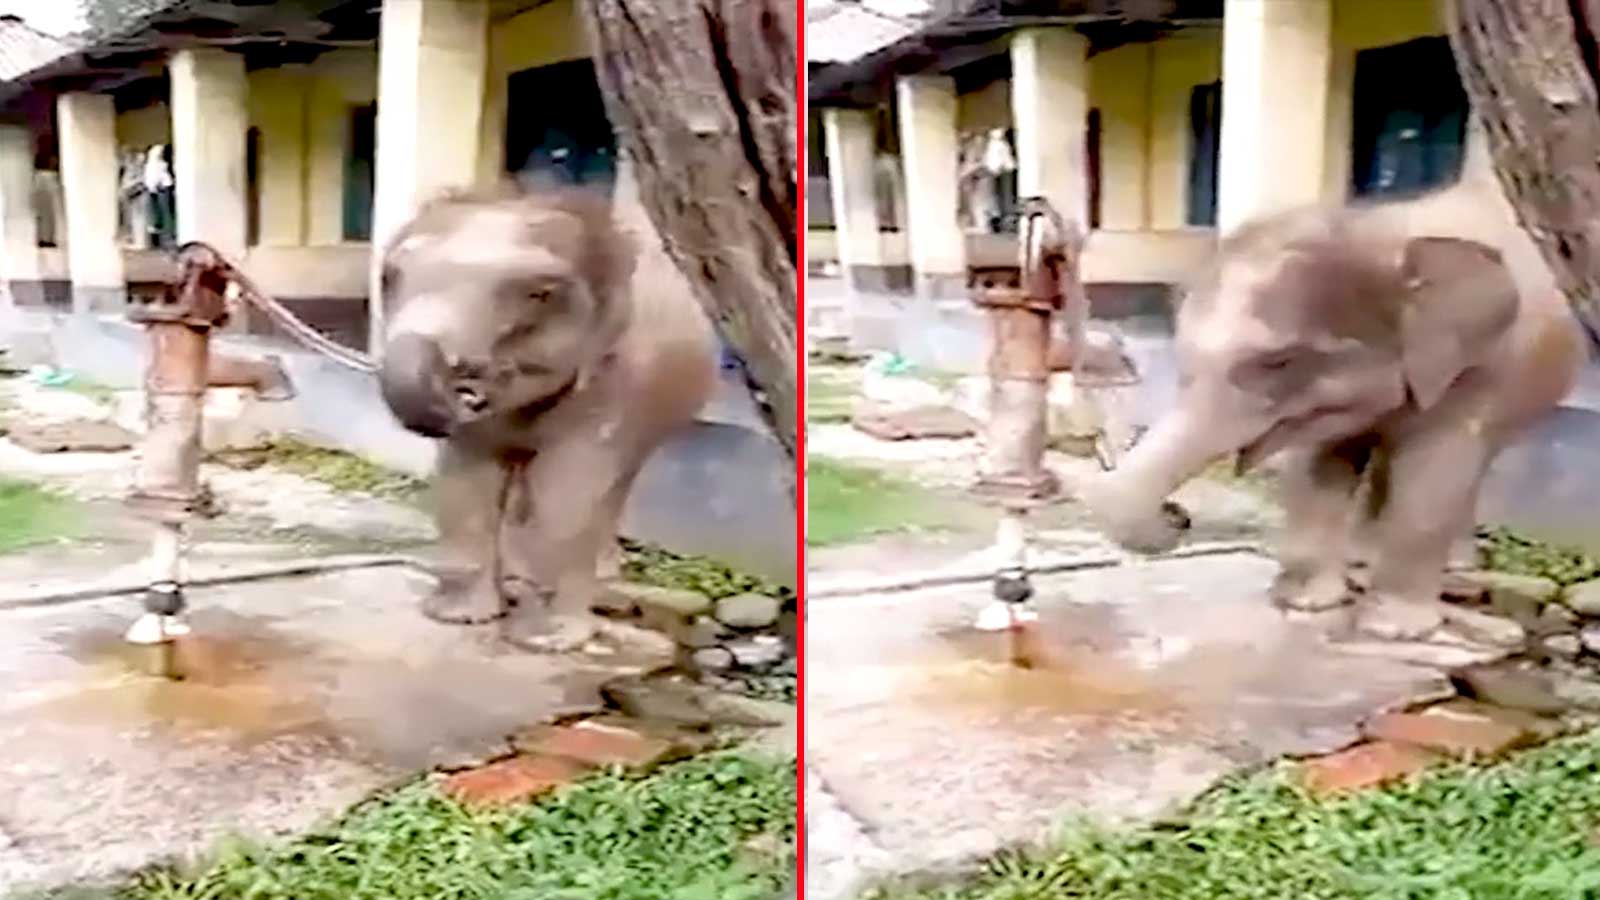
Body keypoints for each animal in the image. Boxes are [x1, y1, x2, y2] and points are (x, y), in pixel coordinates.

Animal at [376, 183, 717, 652]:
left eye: (539, 294)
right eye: (389, 278)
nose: (463, 391)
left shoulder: (610, 380)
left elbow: (566, 494)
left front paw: (545, 641)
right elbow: (466, 479)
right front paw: (459, 618)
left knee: (614, 482)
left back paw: (600, 575)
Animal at [1077, 198, 1587, 642]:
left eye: (1279, 362)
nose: (1178, 514)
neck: (1379, 228)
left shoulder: (1479, 369)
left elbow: (1433, 473)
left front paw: (1395, 630)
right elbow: (1319, 467)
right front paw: (1307, 603)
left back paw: (1453, 569)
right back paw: (1365, 559)